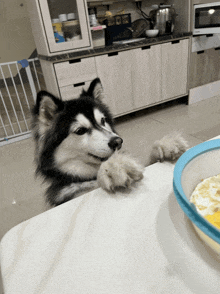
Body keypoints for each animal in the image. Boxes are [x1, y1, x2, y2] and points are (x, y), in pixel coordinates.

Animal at [31, 78, 188, 207]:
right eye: (80, 130)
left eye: (102, 120)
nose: (118, 141)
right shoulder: (70, 194)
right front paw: (114, 168)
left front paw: (166, 145)